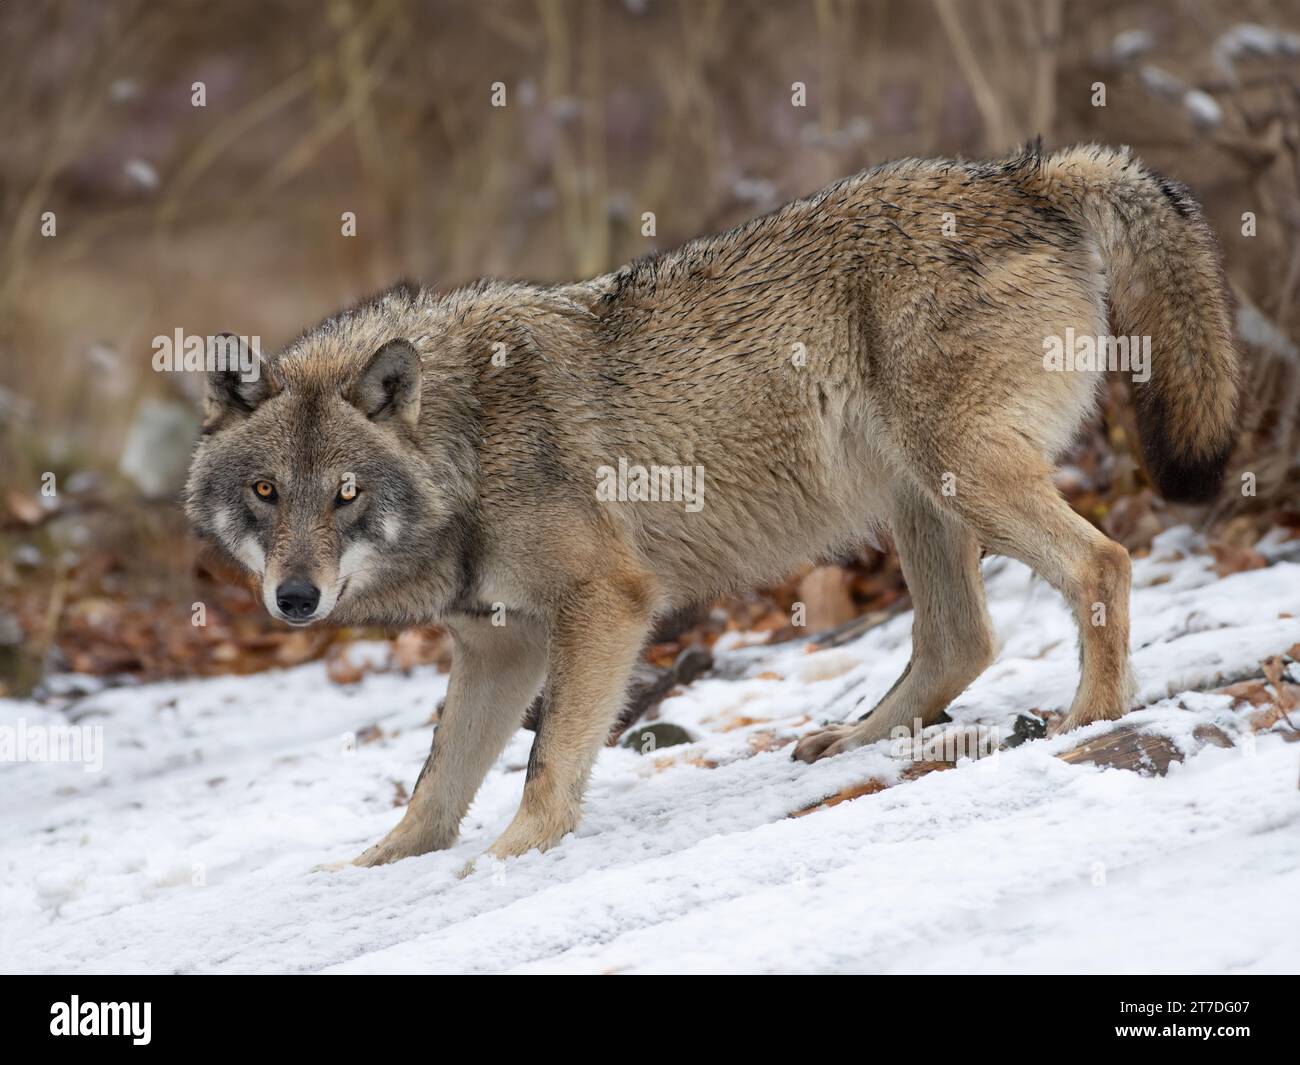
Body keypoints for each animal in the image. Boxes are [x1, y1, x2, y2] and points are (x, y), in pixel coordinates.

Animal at [185, 143, 1239, 869]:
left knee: (1102, 562)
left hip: (963, 480)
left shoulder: (604, 604)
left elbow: (546, 761)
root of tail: (1031, 176)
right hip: (920, 501)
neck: (467, 442)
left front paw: (514, 856)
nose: (294, 599)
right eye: (267, 492)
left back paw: (1090, 720)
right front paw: (374, 869)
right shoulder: (497, 643)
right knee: (960, 641)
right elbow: (433, 786)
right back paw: (851, 740)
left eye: (347, 495)